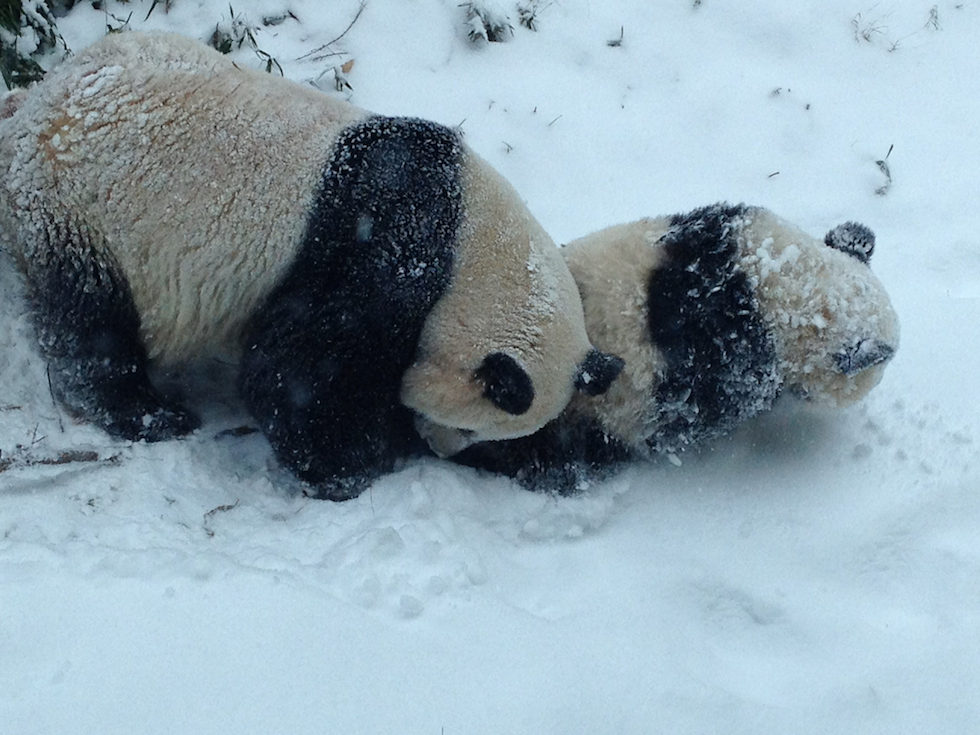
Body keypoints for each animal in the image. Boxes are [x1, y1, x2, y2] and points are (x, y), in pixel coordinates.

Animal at [0, 31, 623, 499]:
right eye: (468, 424)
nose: (439, 446)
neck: (473, 252)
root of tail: (33, 103)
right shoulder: (381, 253)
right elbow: (299, 371)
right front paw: (351, 462)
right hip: (80, 212)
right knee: (94, 323)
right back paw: (150, 414)